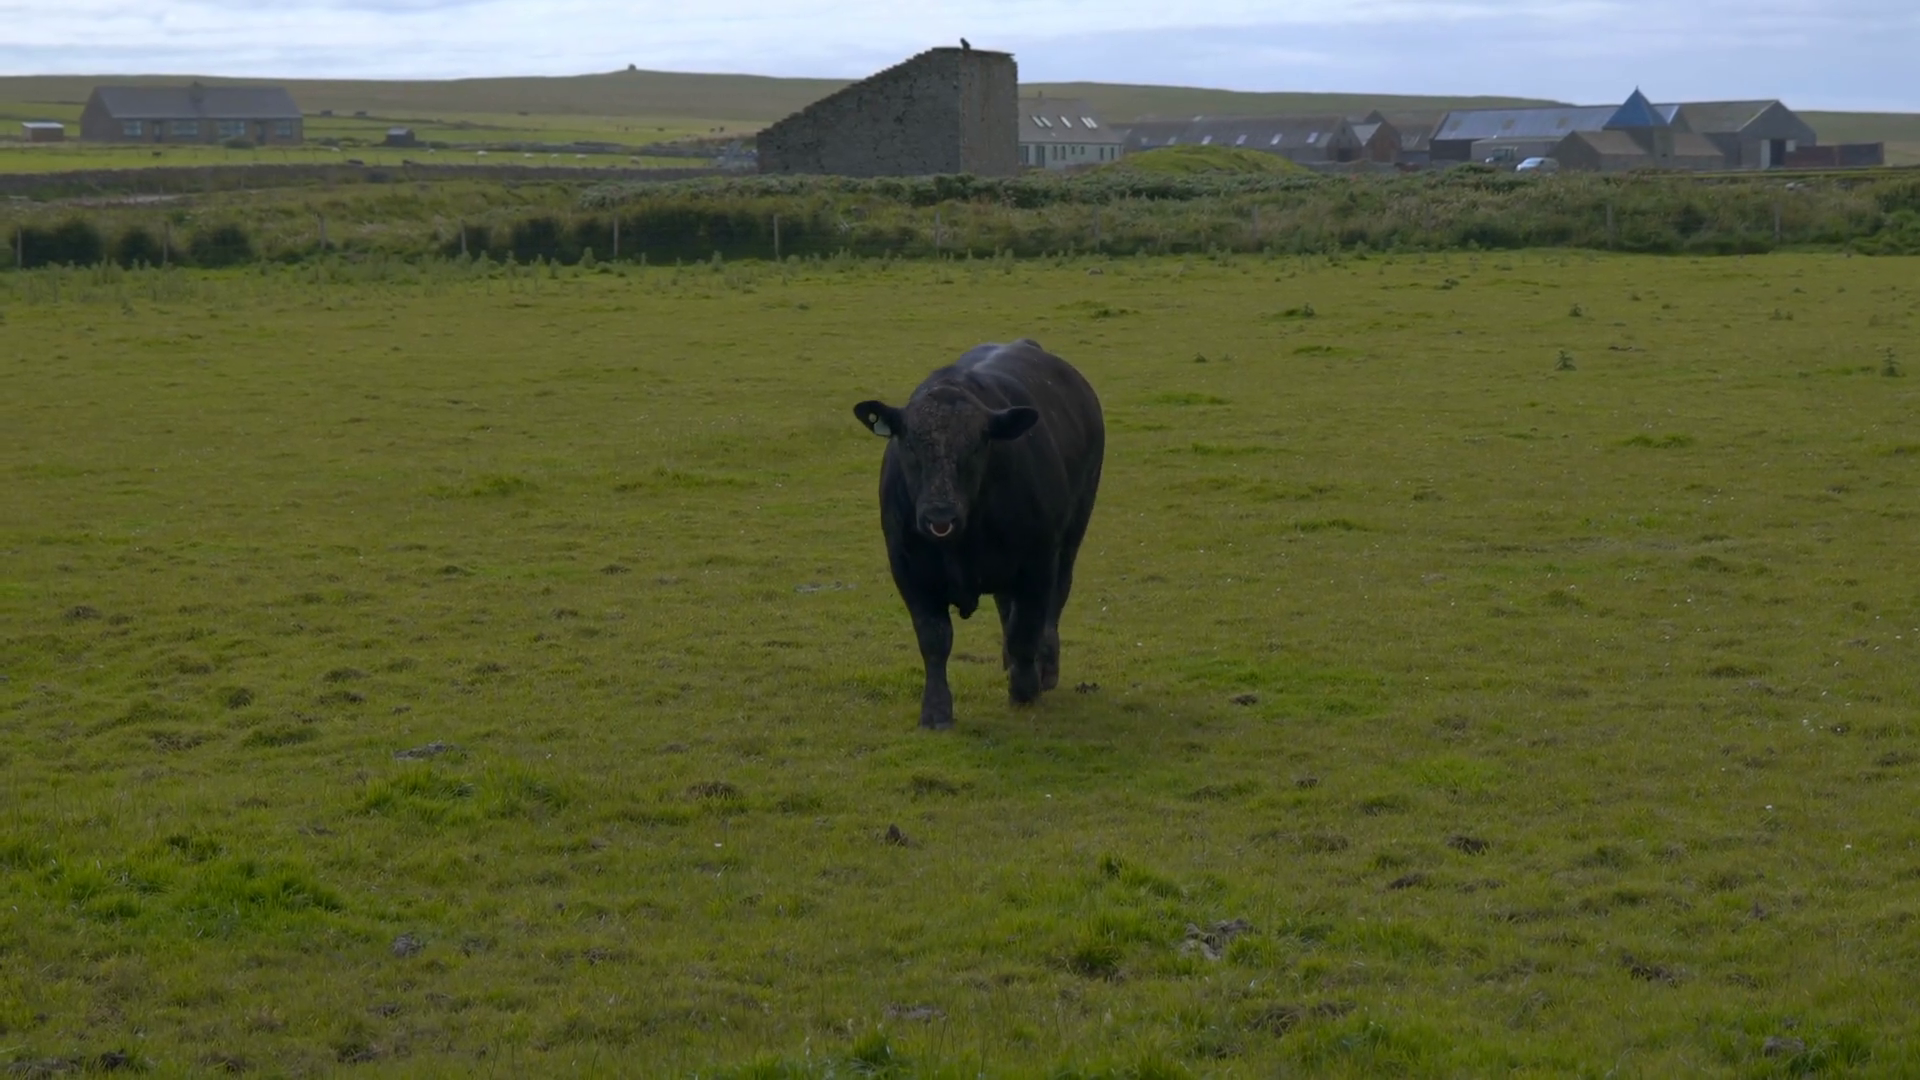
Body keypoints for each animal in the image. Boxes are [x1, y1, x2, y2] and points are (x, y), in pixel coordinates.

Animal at [852, 339, 1105, 730]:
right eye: (909, 444)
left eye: (975, 446)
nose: (940, 513)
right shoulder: (908, 570)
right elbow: (935, 638)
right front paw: (936, 711)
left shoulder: (1037, 563)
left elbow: (1025, 627)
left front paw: (1025, 690)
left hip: (1072, 534)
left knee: (1053, 603)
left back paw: (1044, 667)